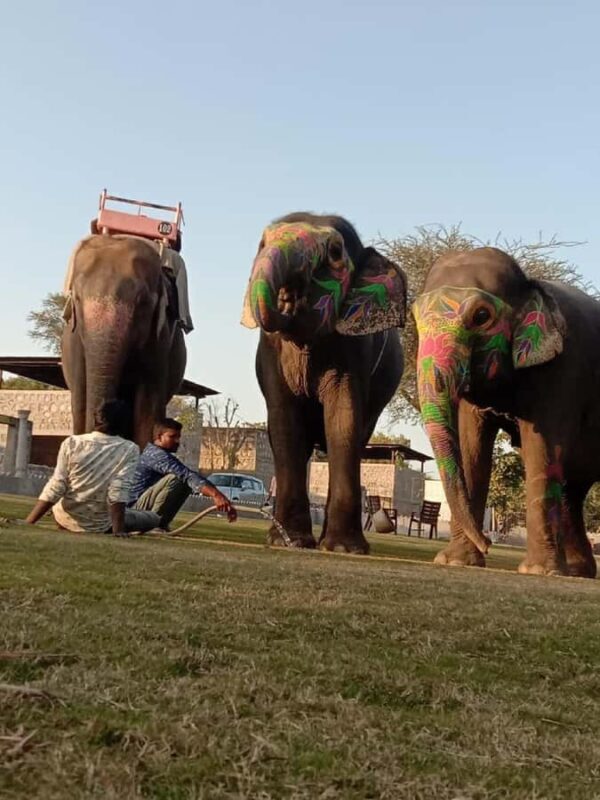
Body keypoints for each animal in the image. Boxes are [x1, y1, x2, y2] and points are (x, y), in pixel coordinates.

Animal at [61, 235, 186, 448]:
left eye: (143, 302)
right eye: (77, 298)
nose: (102, 422)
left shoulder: (160, 340)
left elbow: (147, 407)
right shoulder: (75, 341)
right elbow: (80, 400)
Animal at [241, 212, 407, 553]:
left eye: (334, 252)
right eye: (262, 243)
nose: (288, 297)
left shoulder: (354, 348)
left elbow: (343, 421)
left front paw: (344, 548)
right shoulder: (271, 352)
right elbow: (284, 423)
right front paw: (288, 541)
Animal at [414, 246, 600, 578]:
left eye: (481, 316)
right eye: (414, 317)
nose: (489, 541)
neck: (530, 286)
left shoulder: (565, 369)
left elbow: (544, 449)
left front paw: (538, 571)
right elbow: (471, 446)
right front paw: (456, 561)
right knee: (573, 490)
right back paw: (579, 571)